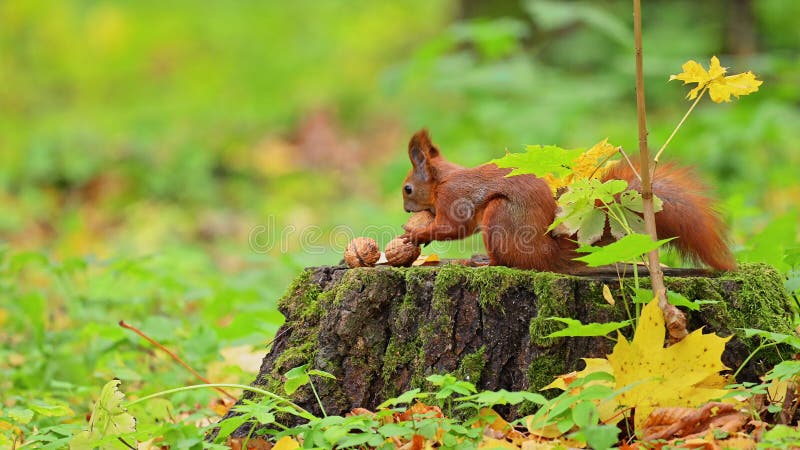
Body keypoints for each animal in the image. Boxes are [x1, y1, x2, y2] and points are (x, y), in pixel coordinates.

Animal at [400, 129, 736, 273]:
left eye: (407, 189)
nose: (405, 209)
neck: (442, 181)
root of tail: (548, 255)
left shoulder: (455, 198)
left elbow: (452, 228)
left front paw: (416, 233)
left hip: (500, 217)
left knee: (507, 261)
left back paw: (478, 262)